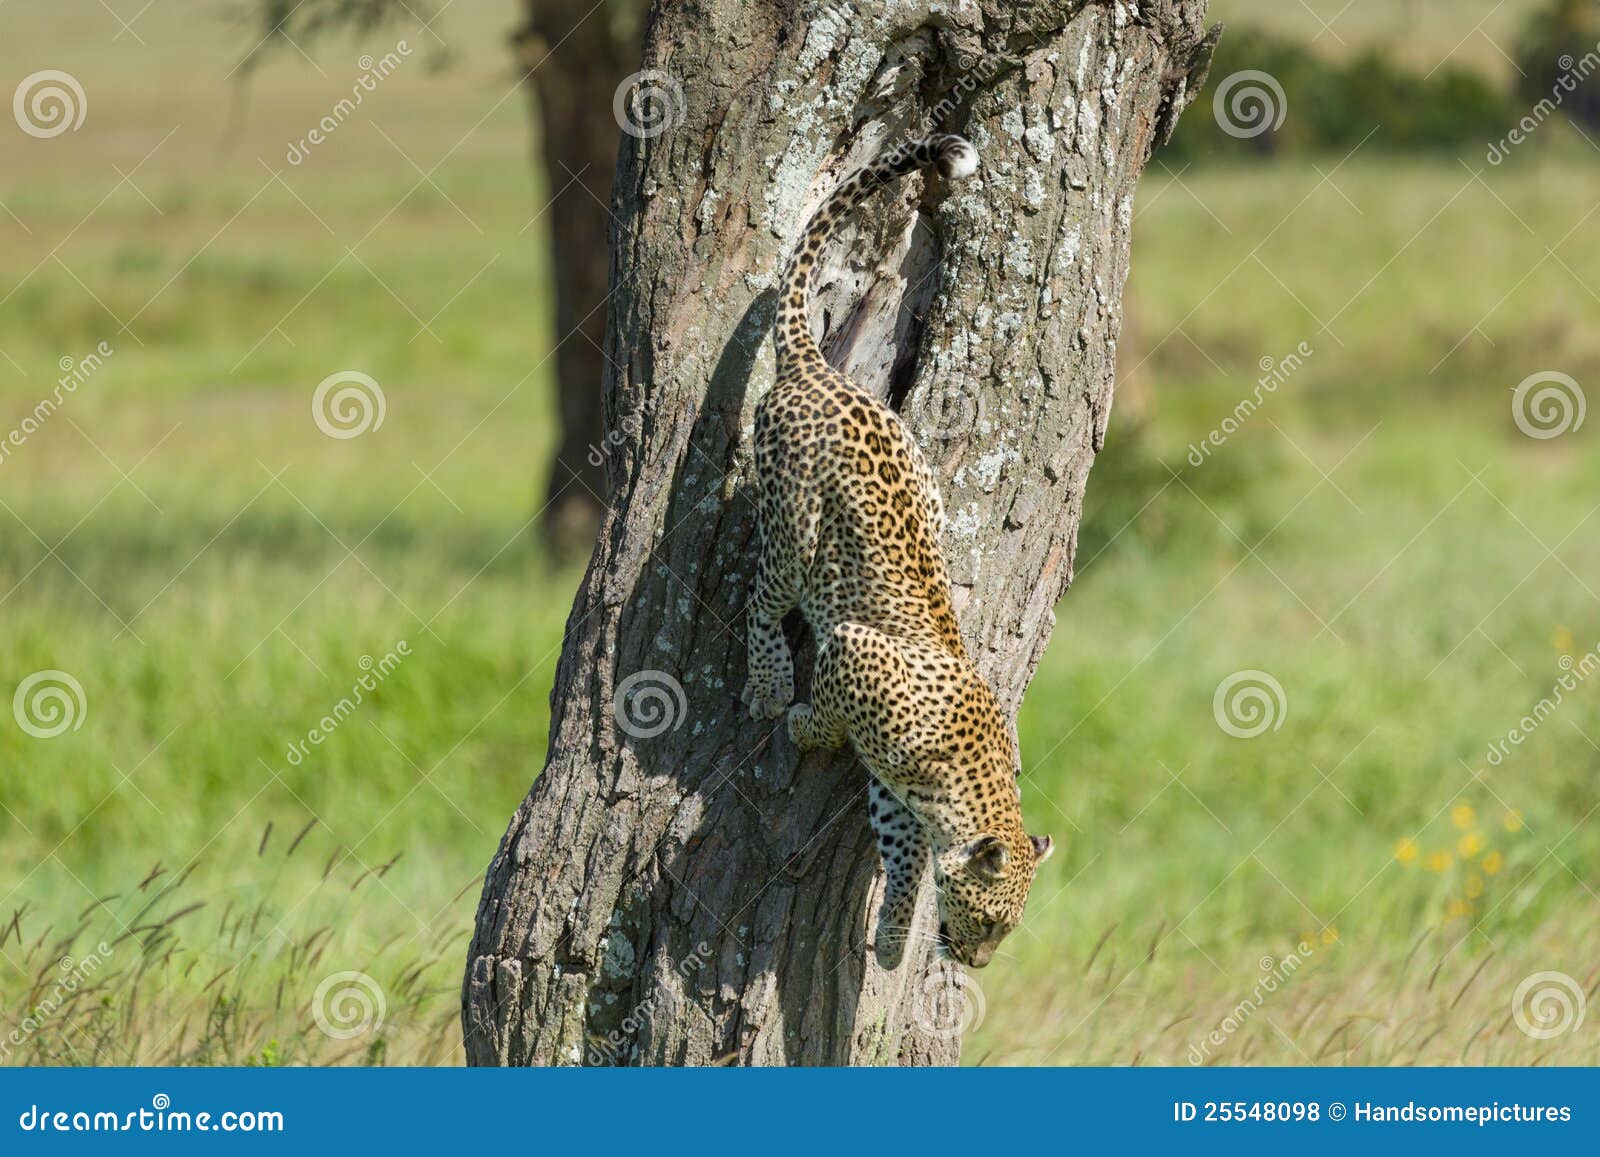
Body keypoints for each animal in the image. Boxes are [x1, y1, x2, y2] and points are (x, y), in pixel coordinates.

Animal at [743, 132, 1054, 971]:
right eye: (990, 920)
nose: (974, 962)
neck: (966, 784)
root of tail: (817, 370)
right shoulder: (856, 652)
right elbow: (828, 710)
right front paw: (804, 724)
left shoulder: (898, 798)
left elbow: (906, 859)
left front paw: (887, 938)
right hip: (792, 525)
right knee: (760, 597)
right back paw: (768, 682)